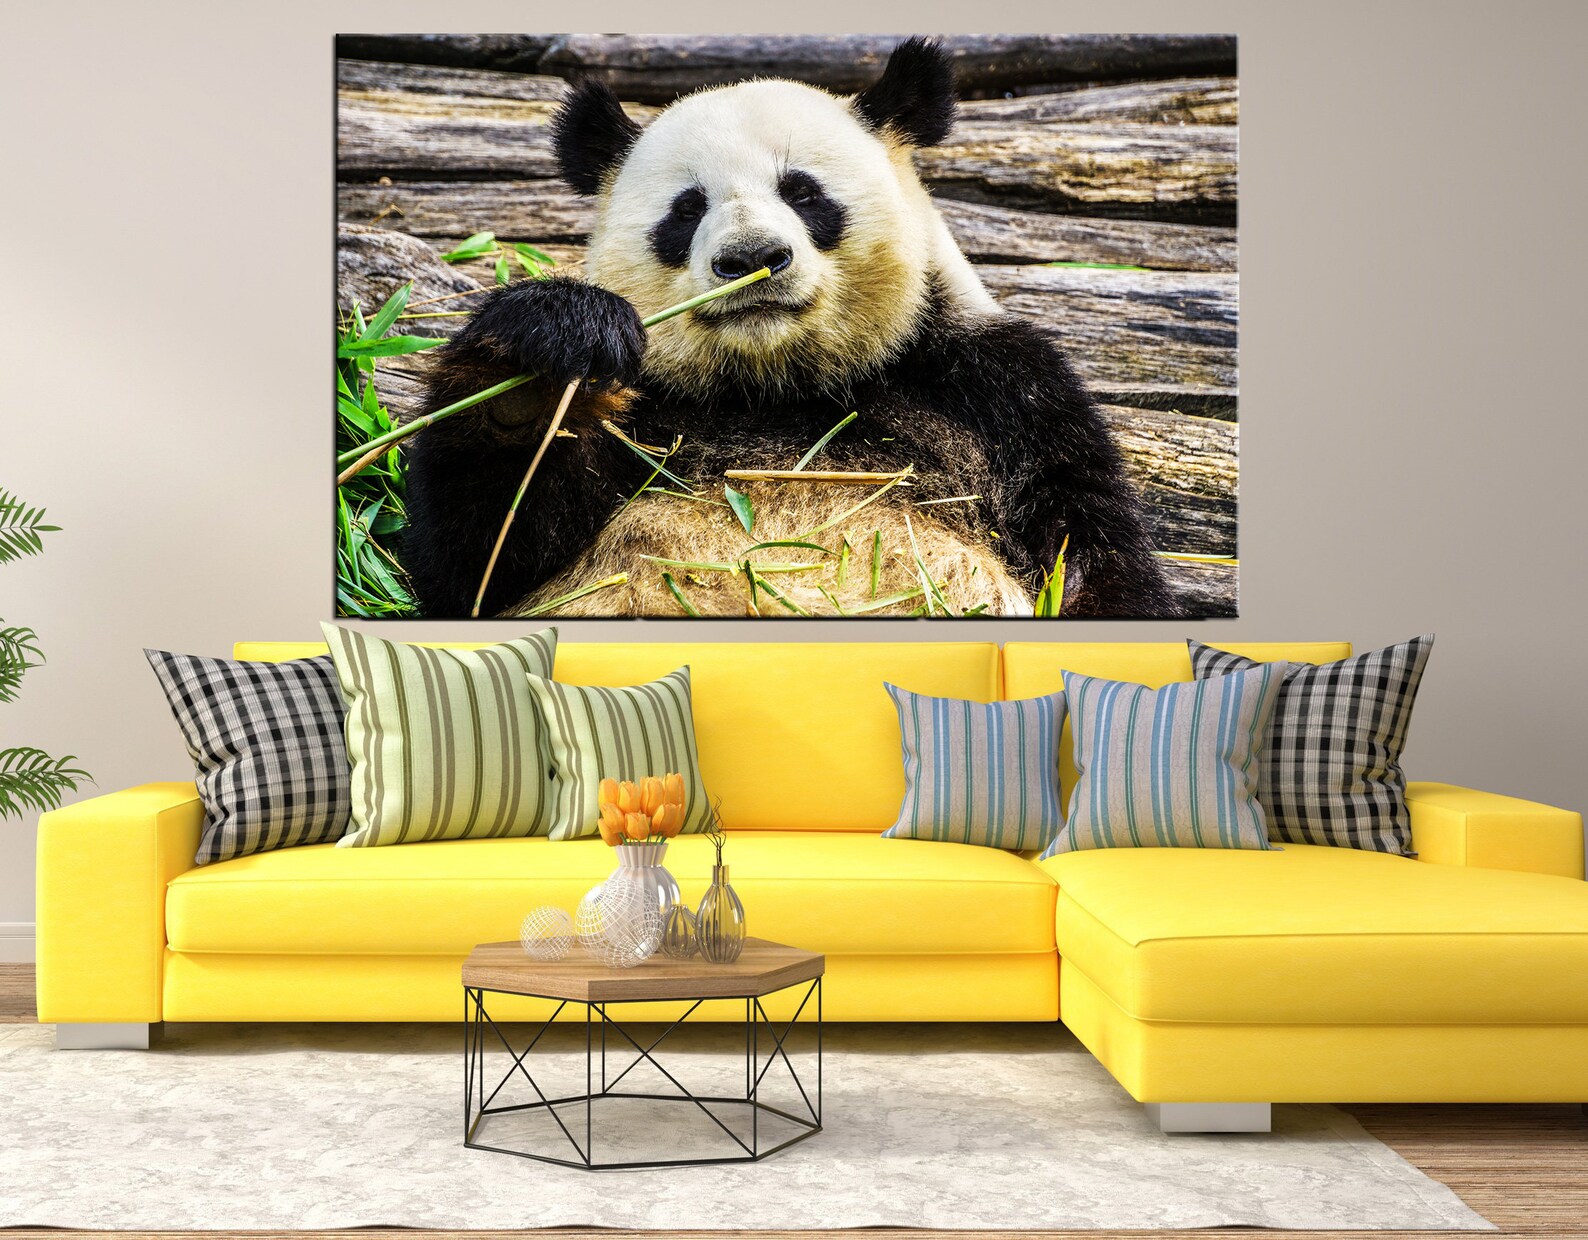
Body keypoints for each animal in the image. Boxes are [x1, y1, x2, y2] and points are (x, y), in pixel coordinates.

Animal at [401, 38, 1179, 619]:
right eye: (687, 209)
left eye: (803, 193)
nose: (751, 260)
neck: (778, 387)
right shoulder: (652, 414)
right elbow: (482, 562)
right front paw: (538, 367)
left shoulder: (1000, 393)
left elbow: (1092, 557)